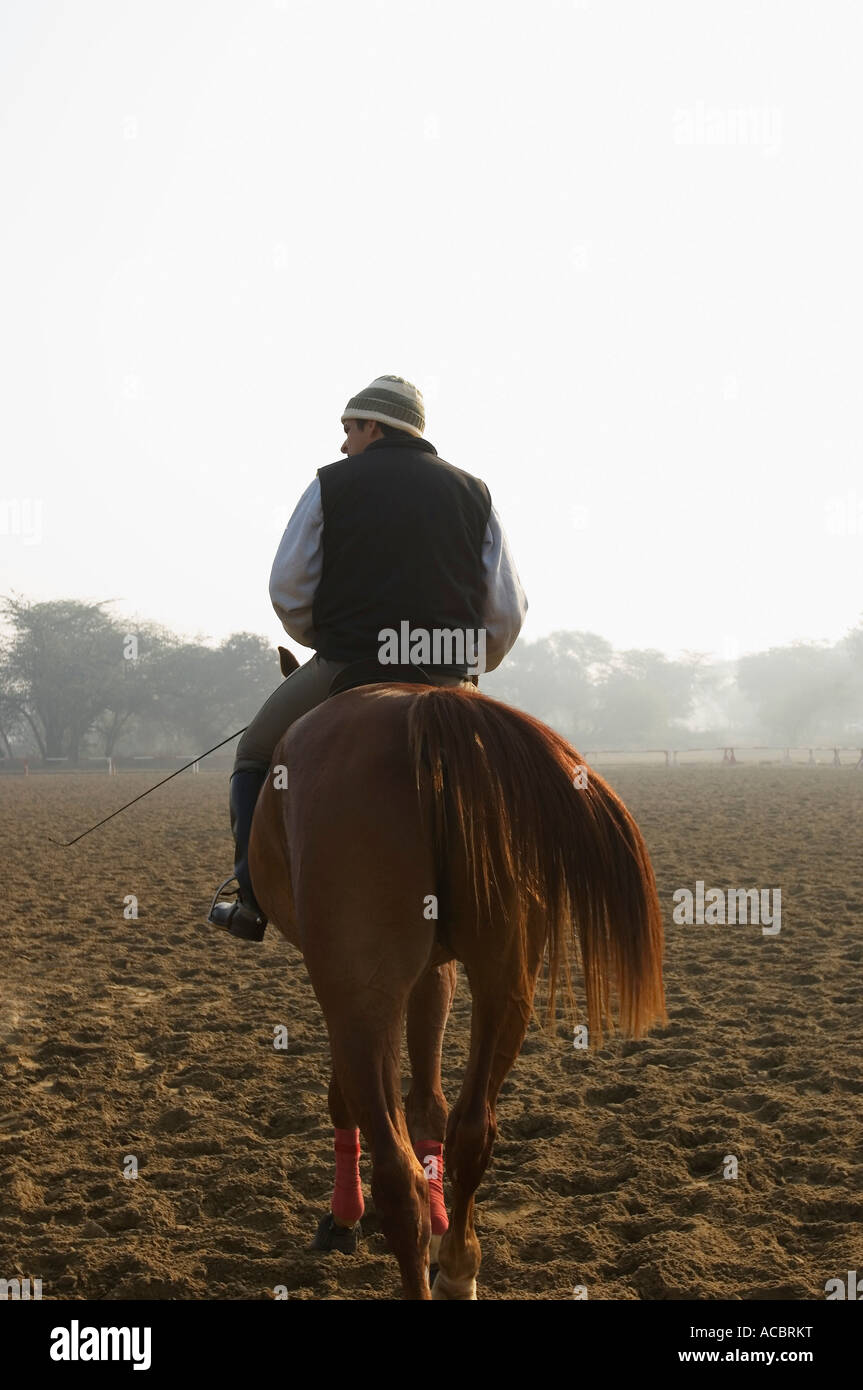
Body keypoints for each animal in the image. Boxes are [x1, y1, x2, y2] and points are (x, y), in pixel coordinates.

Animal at [248, 669, 666, 1299]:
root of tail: (429, 707)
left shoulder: (344, 989)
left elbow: (343, 1096)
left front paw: (344, 1219)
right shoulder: (434, 971)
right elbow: (429, 1103)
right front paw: (440, 1220)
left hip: (364, 998)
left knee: (395, 1176)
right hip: (505, 981)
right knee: (473, 1131)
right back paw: (456, 1267)